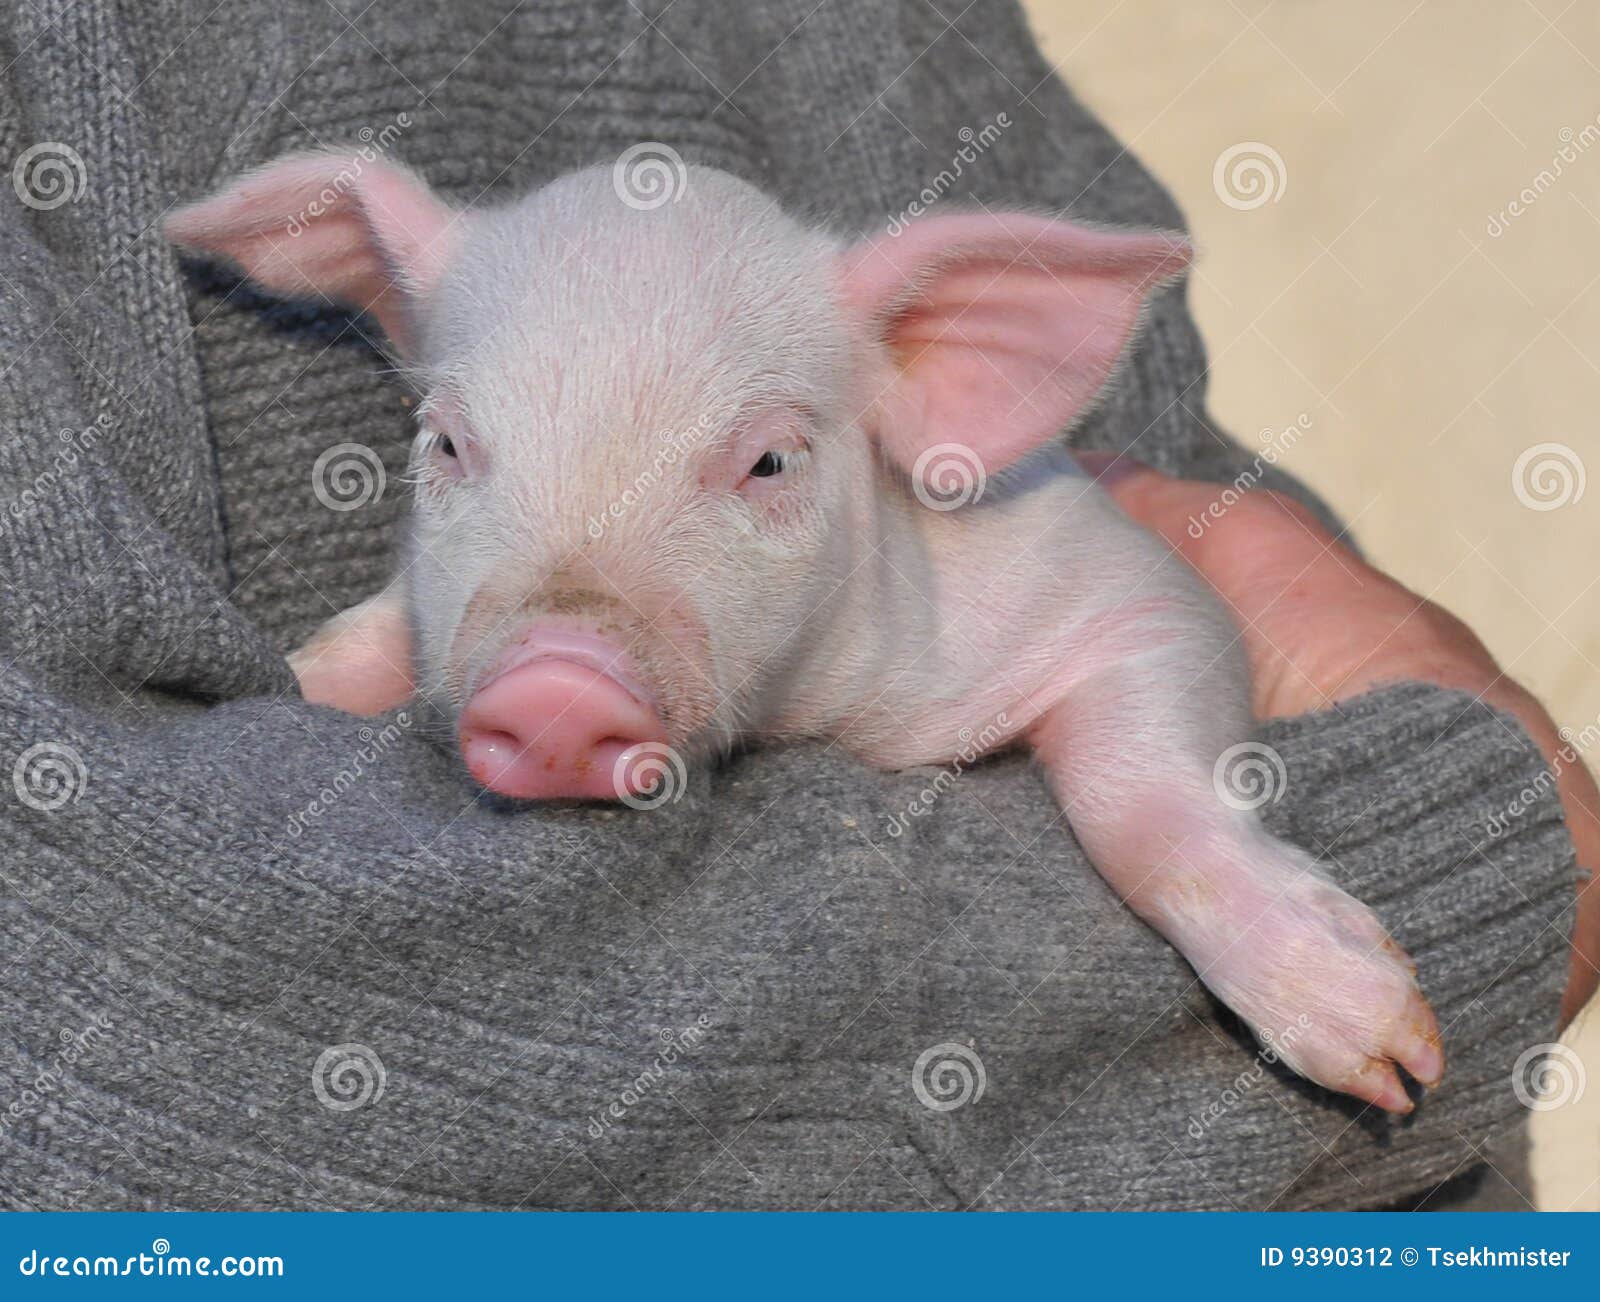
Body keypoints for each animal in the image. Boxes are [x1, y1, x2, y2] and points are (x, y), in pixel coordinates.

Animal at [166, 147, 1443, 1114]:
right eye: (443, 443)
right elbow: (364, 646)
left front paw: (1392, 1054)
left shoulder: (1132, 593)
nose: (556, 679)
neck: (806, 717)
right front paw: (303, 684)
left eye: (770, 461)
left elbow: (1146, 785)